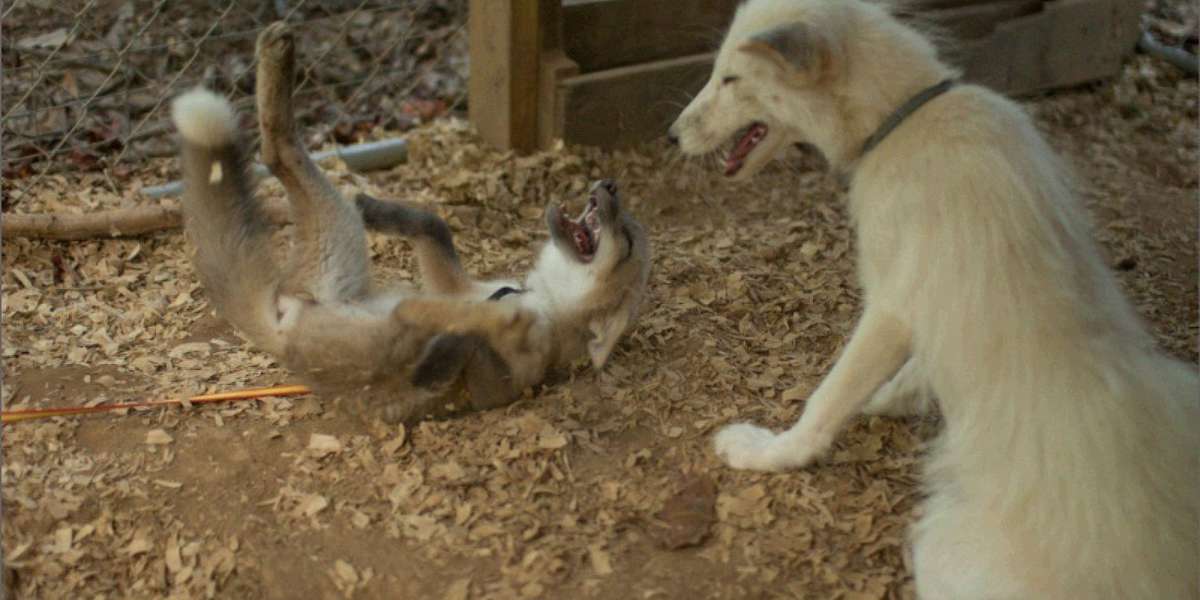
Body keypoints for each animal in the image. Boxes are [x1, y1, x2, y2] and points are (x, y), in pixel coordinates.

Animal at [170, 23, 650, 424]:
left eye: (626, 242)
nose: (611, 185)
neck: (545, 299)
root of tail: (284, 335)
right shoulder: (457, 285)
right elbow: (433, 224)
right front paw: (380, 209)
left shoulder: (499, 365)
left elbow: (475, 331)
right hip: (341, 228)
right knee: (279, 149)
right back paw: (277, 49)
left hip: (351, 261)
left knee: (279, 154)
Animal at [668, 0, 1200, 598]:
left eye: (731, 79)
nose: (670, 137)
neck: (905, 114)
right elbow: (909, 371)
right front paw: (895, 398)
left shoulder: (891, 306)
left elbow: (825, 402)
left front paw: (768, 451)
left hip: (934, 544)